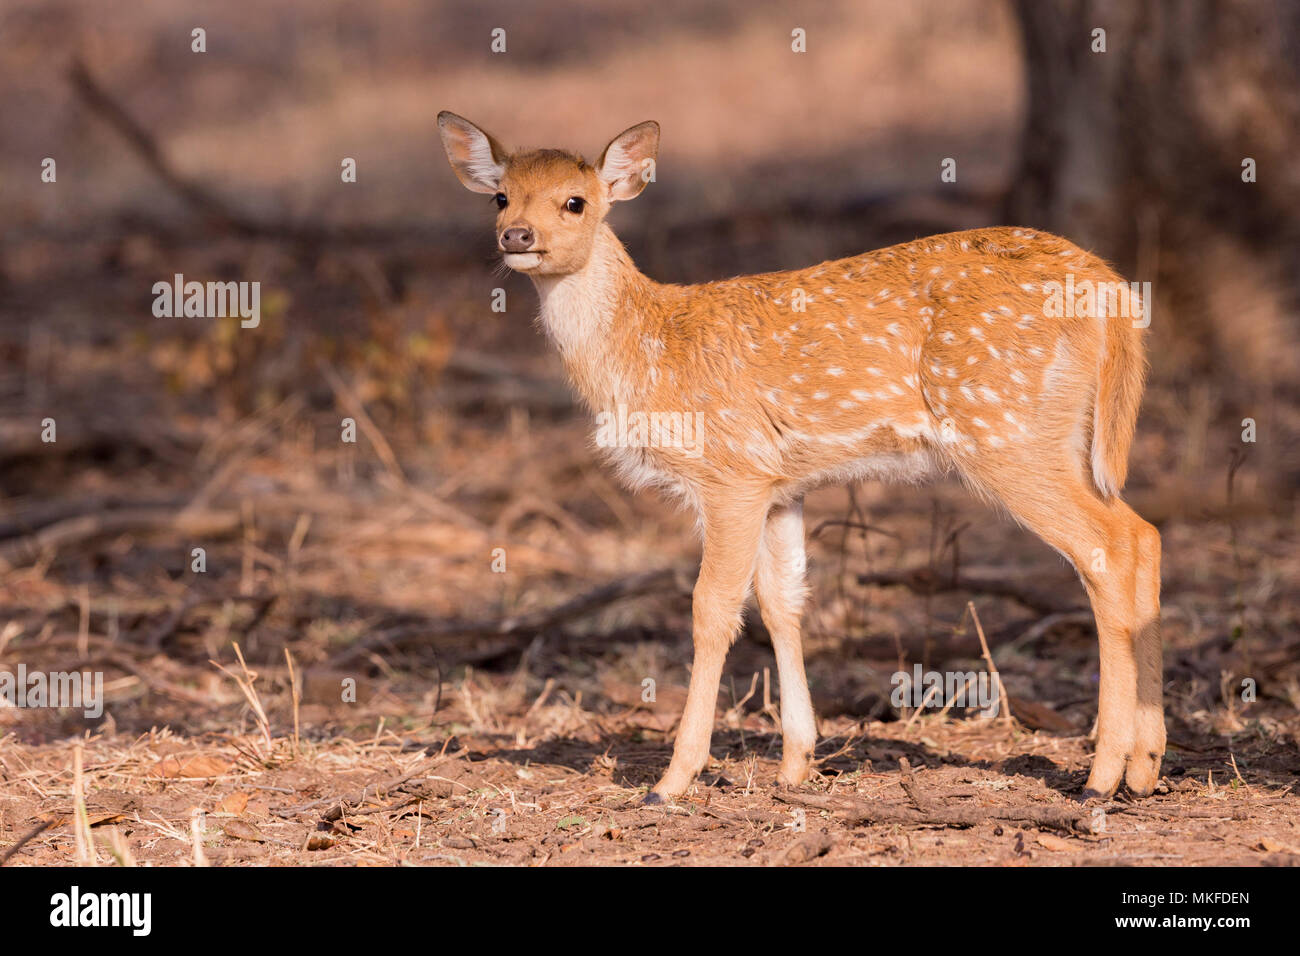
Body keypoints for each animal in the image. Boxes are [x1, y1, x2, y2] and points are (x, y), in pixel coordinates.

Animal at [437, 112, 1164, 805]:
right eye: (501, 195)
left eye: (576, 201)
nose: (516, 236)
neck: (644, 351)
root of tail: (1111, 290)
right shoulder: (780, 484)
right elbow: (783, 601)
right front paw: (796, 764)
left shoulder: (728, 471)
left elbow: (712, 607)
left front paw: (674, 778)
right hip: (1058, 432)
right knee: (1144, 533)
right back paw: (1145, 766)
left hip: (1003, 425)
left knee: (1107, 546)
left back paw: (1100, 775)